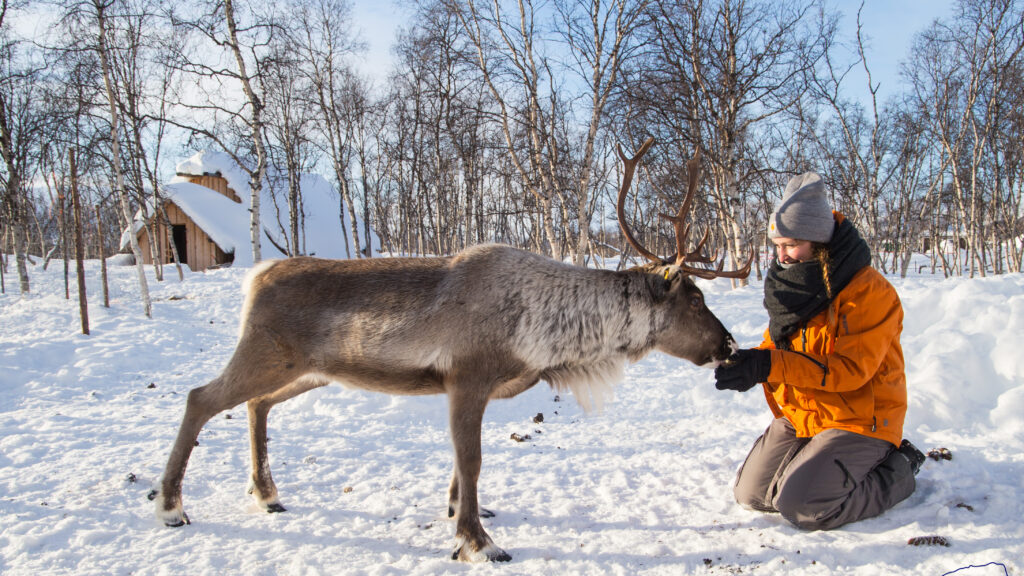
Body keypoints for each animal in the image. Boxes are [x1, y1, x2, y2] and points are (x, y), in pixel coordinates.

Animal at [150, 137, 751, 562]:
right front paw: (480, 543)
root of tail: (255, 276)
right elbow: (473, 459)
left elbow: (462, 469)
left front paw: (458, 512)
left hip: (308, 371)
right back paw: (172, 507)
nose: (727, 344)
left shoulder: (473, 389)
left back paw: (267, 494)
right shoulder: (467, 379)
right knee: (200, 397)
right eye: (696, 298)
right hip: (265, 354)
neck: (549, 332)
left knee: (256, 405)